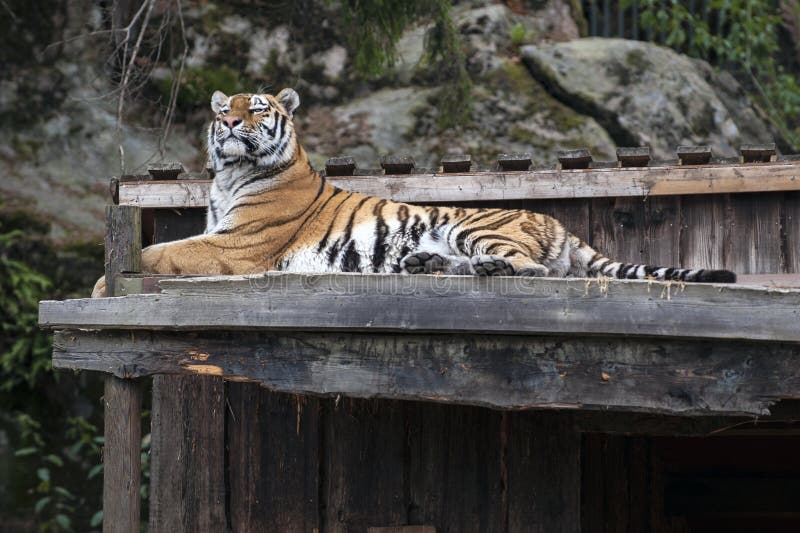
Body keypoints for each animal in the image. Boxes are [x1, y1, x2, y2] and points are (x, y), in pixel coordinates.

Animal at [91, 88, 735, 298]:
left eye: (257, 109)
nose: (227, 122)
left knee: (537, 272)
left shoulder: (235, 245)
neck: (229, 173)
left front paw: (100, 285)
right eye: (224, 109)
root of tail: (563, 226)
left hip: (476, 225)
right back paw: (429, 265)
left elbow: (158, 252)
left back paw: (483, 271)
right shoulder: (222, 236)